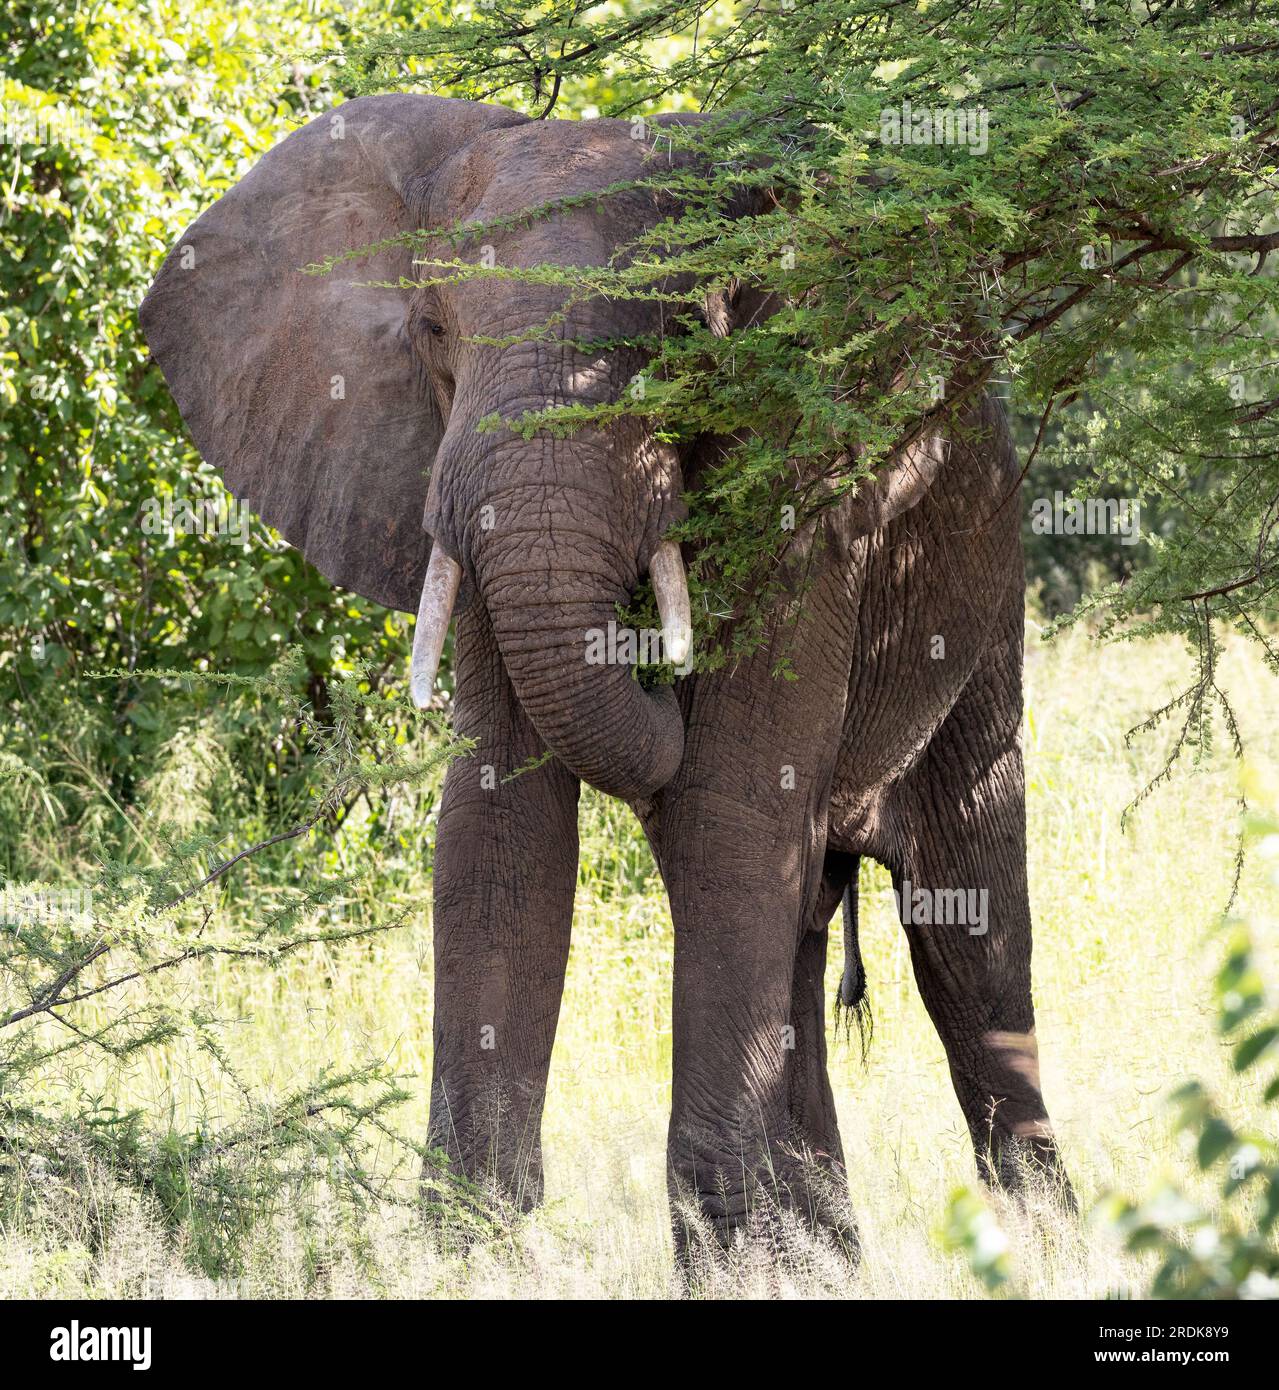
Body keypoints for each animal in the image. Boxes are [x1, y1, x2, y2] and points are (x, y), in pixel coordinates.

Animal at [140, 93, 1070, 1252]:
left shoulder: (810, 477)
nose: (648, 653)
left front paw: (717, 1247)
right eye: (433, 331)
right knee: (801, 921)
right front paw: (472, 1245)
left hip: (983, 593)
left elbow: (729, 796)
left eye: (682, 338)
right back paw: (820, 1254)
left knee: (966, 930)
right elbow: (499, 818)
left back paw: (1043, 1246)